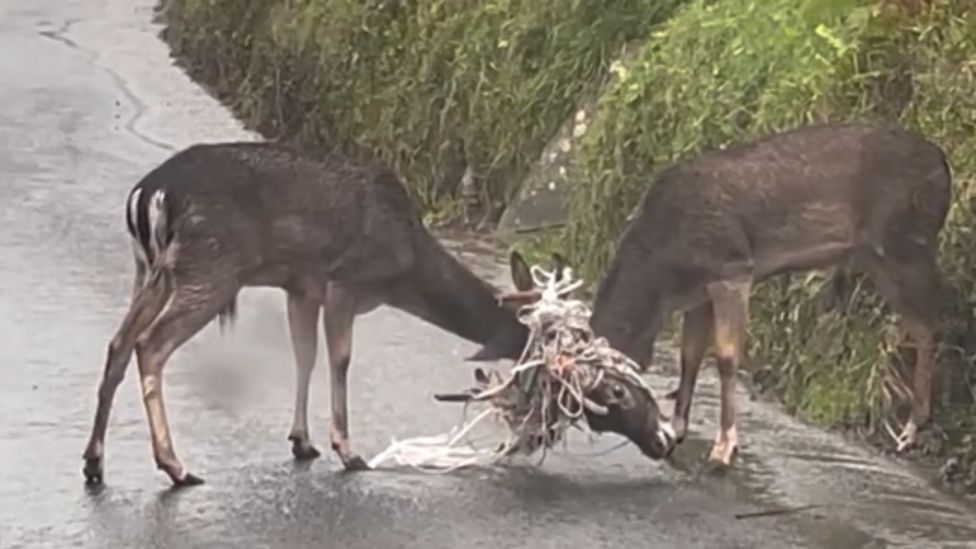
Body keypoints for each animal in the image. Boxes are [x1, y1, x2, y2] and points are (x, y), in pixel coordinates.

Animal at [81, 141, 673, 487]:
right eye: (613, 389)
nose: (666, 437)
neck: (406, 265)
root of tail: (149, 193)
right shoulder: (347, 280)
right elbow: (340, 360)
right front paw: (348, 451)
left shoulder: (302, 283)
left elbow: (304, 356)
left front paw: (302, 441)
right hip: (210, 266)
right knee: (149, 346)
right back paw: (176, 467)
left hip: (150, 270)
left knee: (116, 344)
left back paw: (94, 462)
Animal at [581, 121, 952, 467]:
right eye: (594, 419)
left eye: (617, 391)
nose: (658, 446)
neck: (663, 274)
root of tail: (945, 168)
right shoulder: (699, 293)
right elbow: (691, 356)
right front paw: (680, 428)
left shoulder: (732, 269)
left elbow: (726, 357)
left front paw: (724, 448)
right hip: (876, 256)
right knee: (920, 323)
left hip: (906, 246)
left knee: (930, 324)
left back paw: (911, 430)